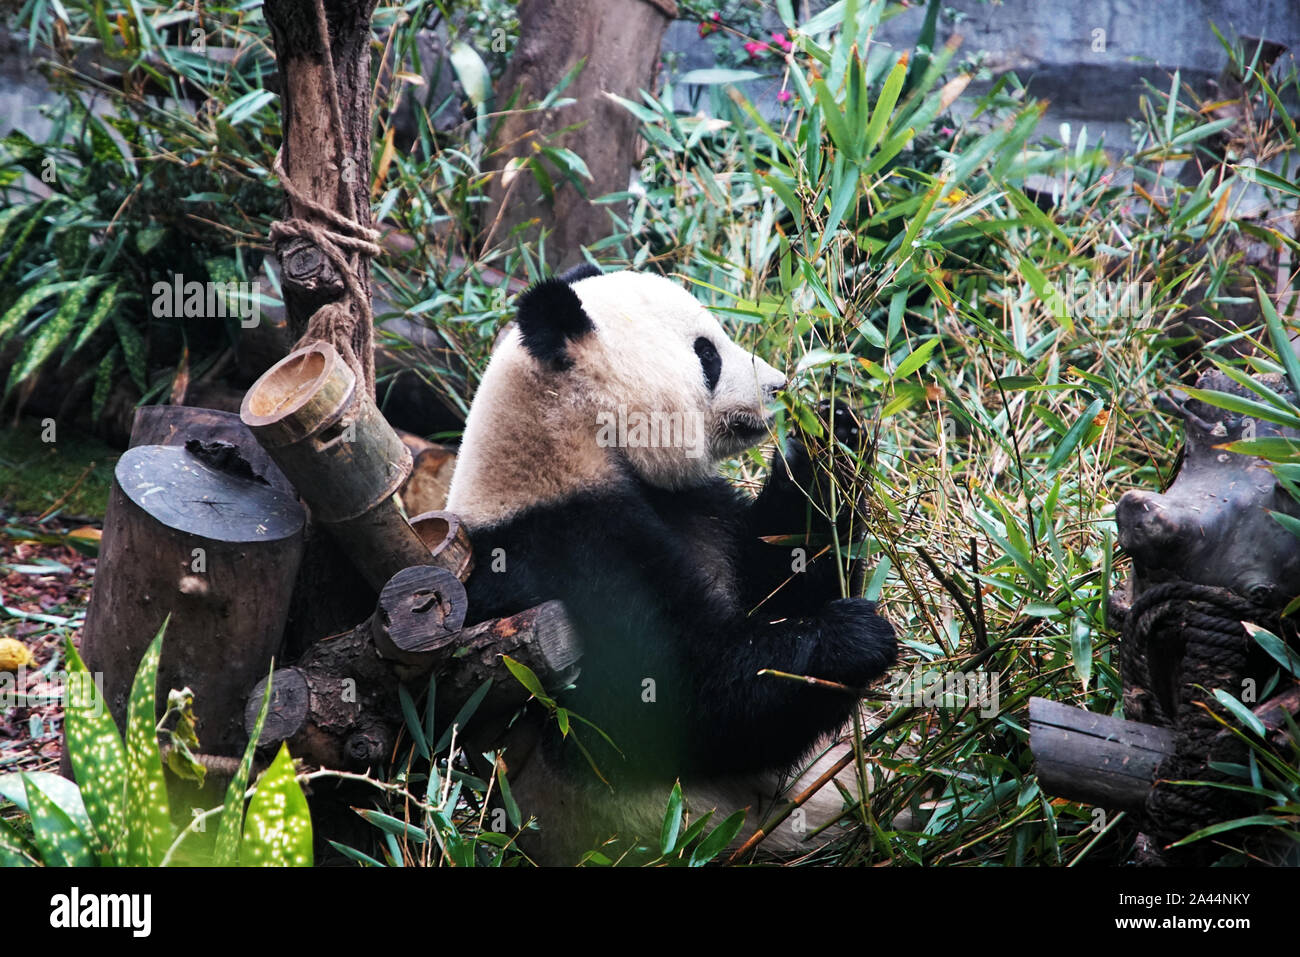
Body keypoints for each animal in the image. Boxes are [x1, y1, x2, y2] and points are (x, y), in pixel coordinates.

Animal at [446, 265, 897, 863]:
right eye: (707, 354)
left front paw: (830, 441)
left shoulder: (697, 507)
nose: (778, 388)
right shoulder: (565, 554)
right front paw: (855, 637)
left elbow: (776, 584)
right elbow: (675, 698)